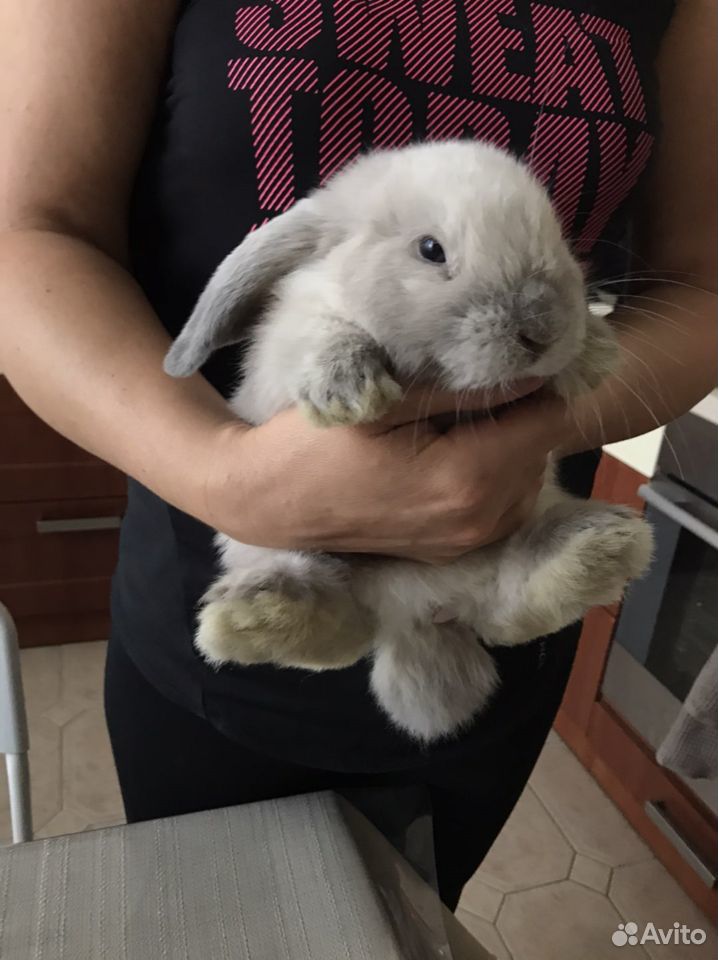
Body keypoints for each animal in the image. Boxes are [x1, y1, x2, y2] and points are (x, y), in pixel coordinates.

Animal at [164, 139, 653, 743]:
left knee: (508, 607)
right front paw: (350, 392)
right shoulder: (288, 339)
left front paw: (593, 354)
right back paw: (260, 616)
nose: (542, 330)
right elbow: (320, 334)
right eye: (430, 250)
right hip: (271, 539)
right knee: (342, 629)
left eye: (556, 235)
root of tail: (419, 613)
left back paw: (596, 550)